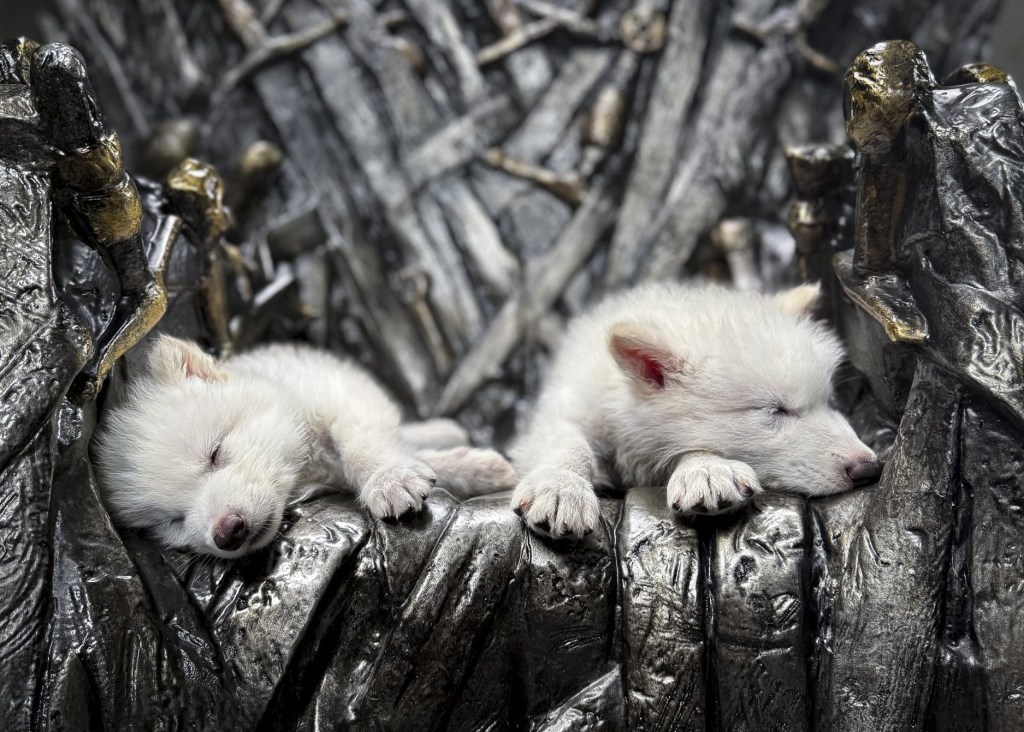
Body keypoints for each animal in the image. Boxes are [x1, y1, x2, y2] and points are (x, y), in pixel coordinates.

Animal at [93, 336, 517, 558]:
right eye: (174, 521)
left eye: (215, 453)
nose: (227, 533)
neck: (305, 466)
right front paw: (473, 469)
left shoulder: (343, 396)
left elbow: (363, 443)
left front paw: (389, 478)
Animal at [511, 282, 882, 538]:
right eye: (775, 410)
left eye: (827, 402)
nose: (870, 468)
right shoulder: (566, 408)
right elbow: (568, 442)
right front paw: (560, 487)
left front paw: (706, 469)